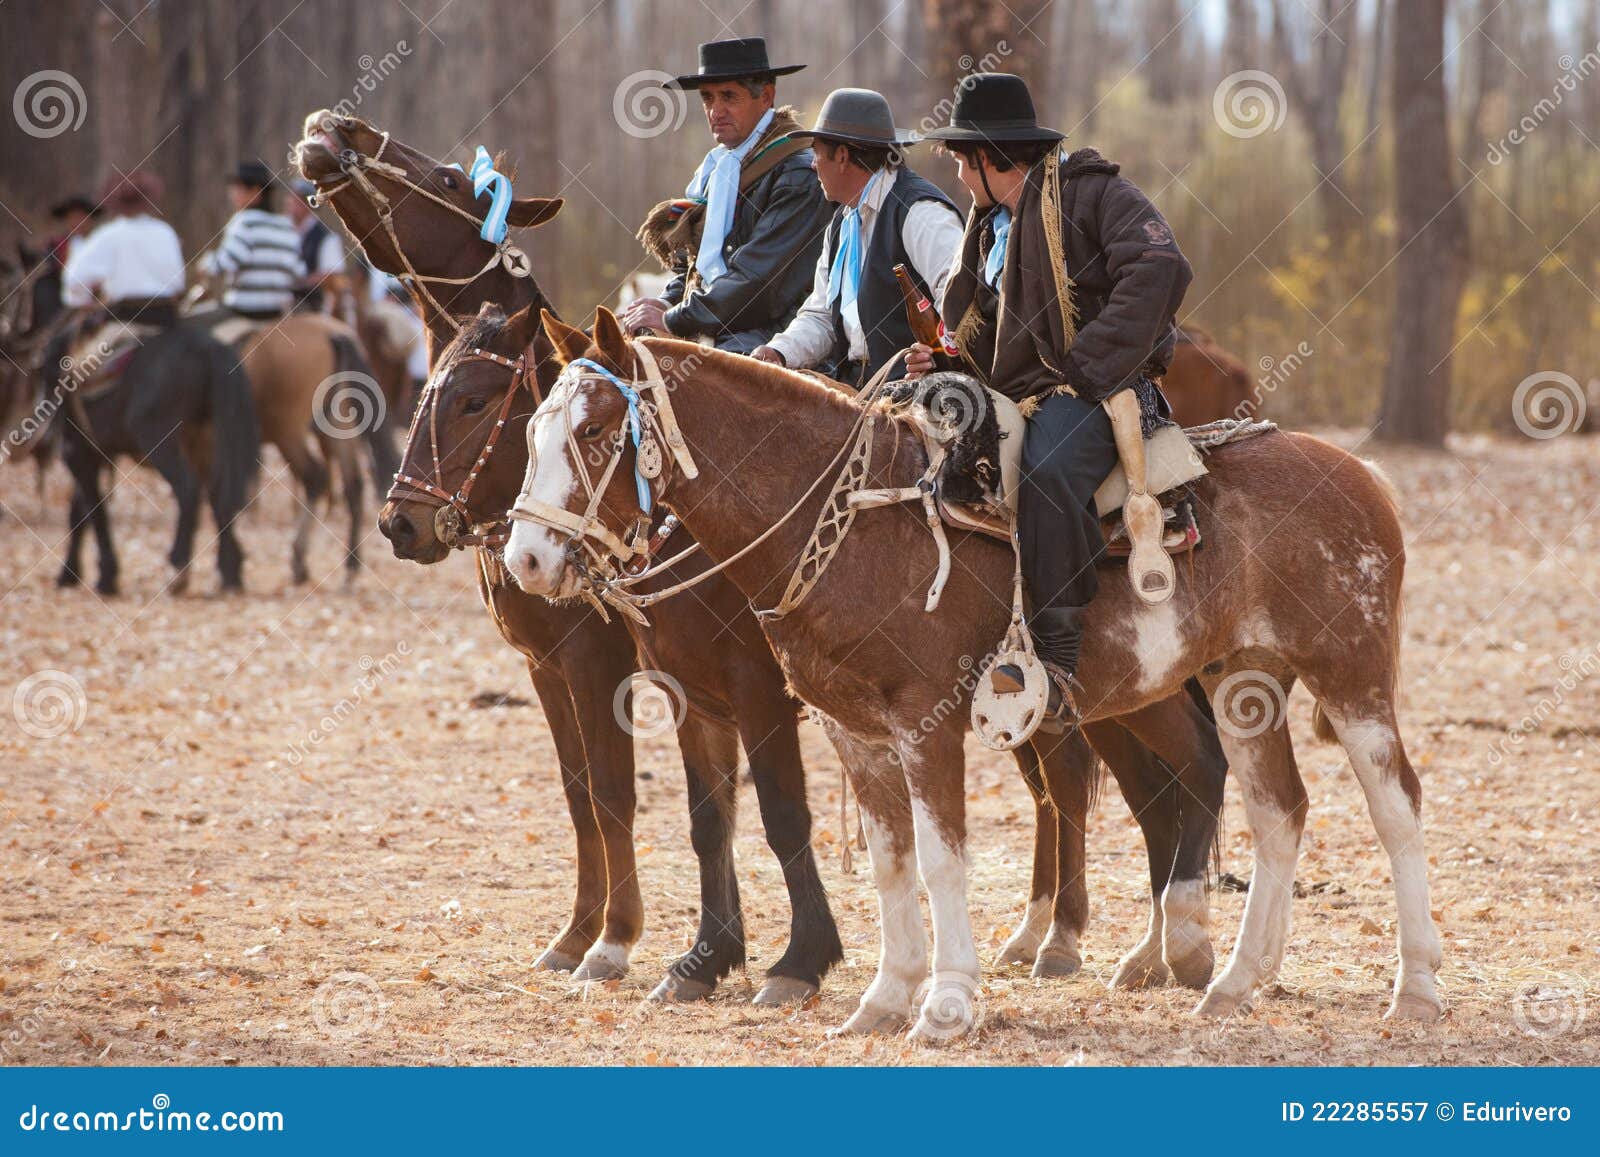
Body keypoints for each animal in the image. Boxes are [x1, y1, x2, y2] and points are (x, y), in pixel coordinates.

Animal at [295, 110, 1231, 1001]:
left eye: (479, 400)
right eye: (436, 393)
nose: (404, 522)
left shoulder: (688, 678)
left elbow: (738, 807)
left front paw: (757, 954)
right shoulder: (637, 677)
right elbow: (665, 807)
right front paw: (689, 953)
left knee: (1097, 781)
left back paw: (1083, 937)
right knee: (1122, 784)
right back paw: (1112, 941)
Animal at [503, 310, 1443, 1042]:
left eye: (593, 432)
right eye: (531, 432)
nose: (526, 558)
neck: (855, 519)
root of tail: (1360, 476)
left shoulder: (924, 723)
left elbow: (940, 856)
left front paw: (946, 1003)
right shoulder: (853, 731)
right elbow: (890, 859)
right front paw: (886, 996)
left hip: (1350, 675)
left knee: (1395, 806)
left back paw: (1416, 987)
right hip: (1241, 681)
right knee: (1279, 809)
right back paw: (1236, 982)